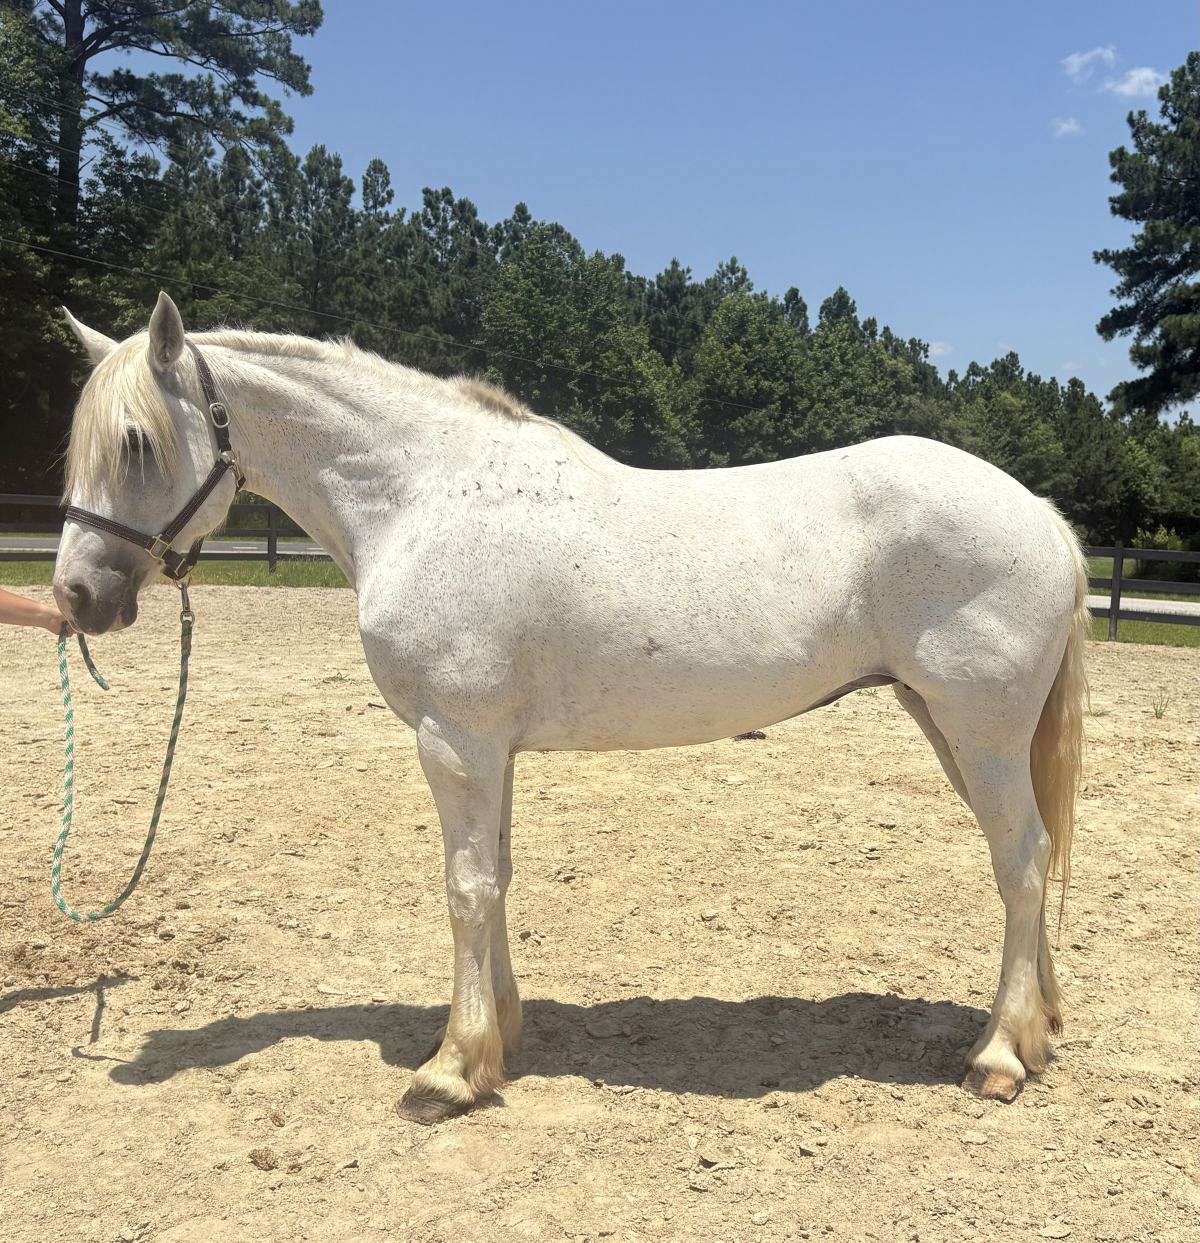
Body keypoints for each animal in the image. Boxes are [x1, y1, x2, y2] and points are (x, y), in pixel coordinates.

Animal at [53, 293, 1089, 1123]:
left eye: (136, 443)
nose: (76, 596)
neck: (422, 497)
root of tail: (1040, 514)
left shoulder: (454, 740)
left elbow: (466, 889)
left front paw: (449, 1071)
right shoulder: (489, 748)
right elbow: (498, 878)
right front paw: (500, 1034)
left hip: (981, 732)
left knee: (1020, 862)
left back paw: (1000, 1054)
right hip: (947, 725)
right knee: (1030, 857)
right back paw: (1038, 1023)